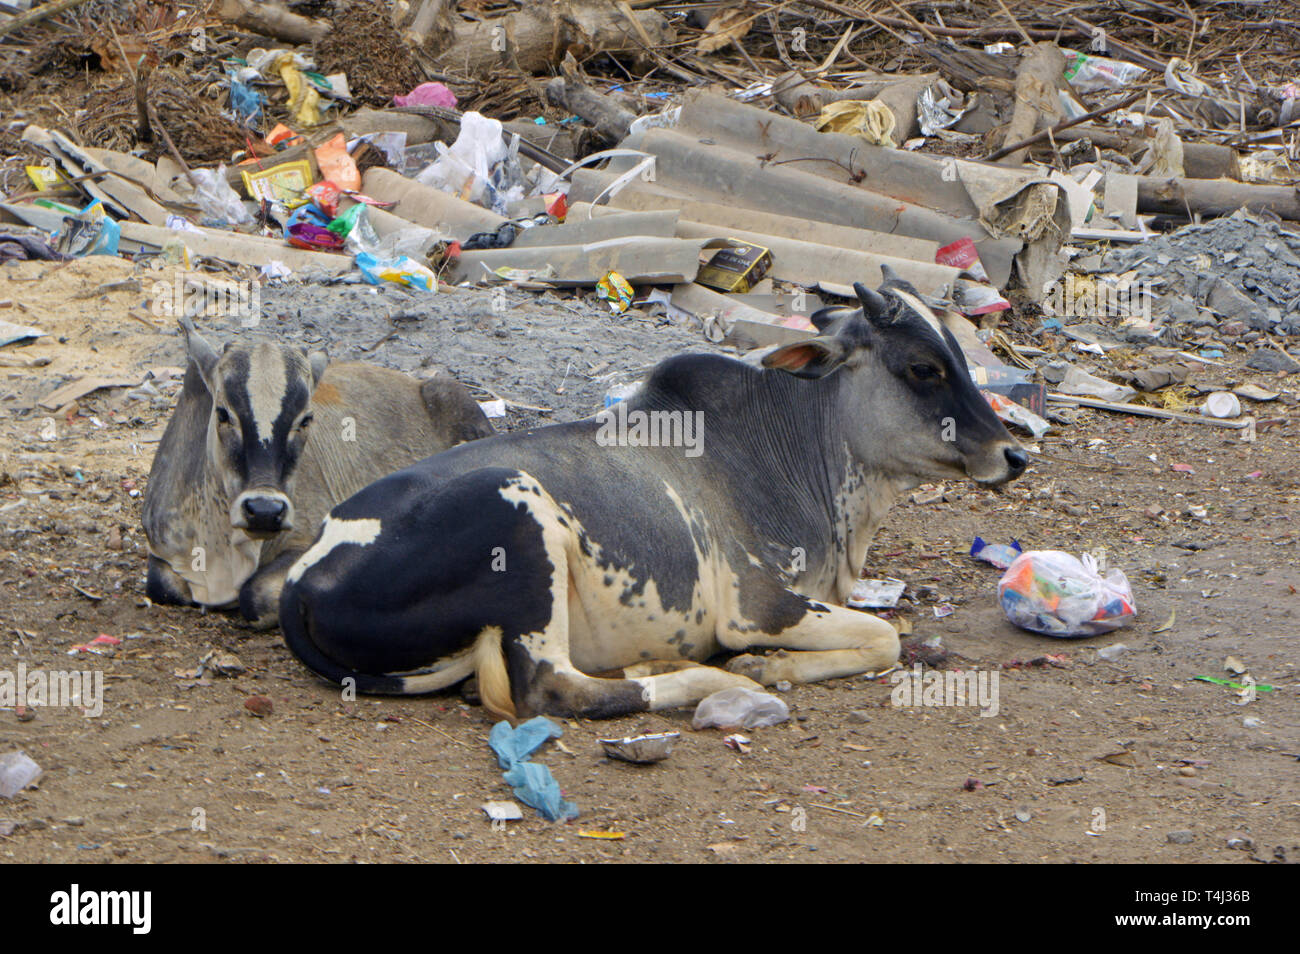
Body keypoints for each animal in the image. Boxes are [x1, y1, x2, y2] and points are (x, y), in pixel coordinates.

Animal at [142, 317, 493, 627]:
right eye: (223, 413)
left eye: (305, 420)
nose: (265, 511)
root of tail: (419, 382)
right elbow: (162, 586)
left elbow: (255, 595)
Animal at [278, 272, 1029, 720]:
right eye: (923, 368)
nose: (1014, 453)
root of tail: (301, 579)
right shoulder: (757, 605)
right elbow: (885, 638)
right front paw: (770, 666)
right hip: (522, 530)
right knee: (556, 689)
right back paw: (716, 682)